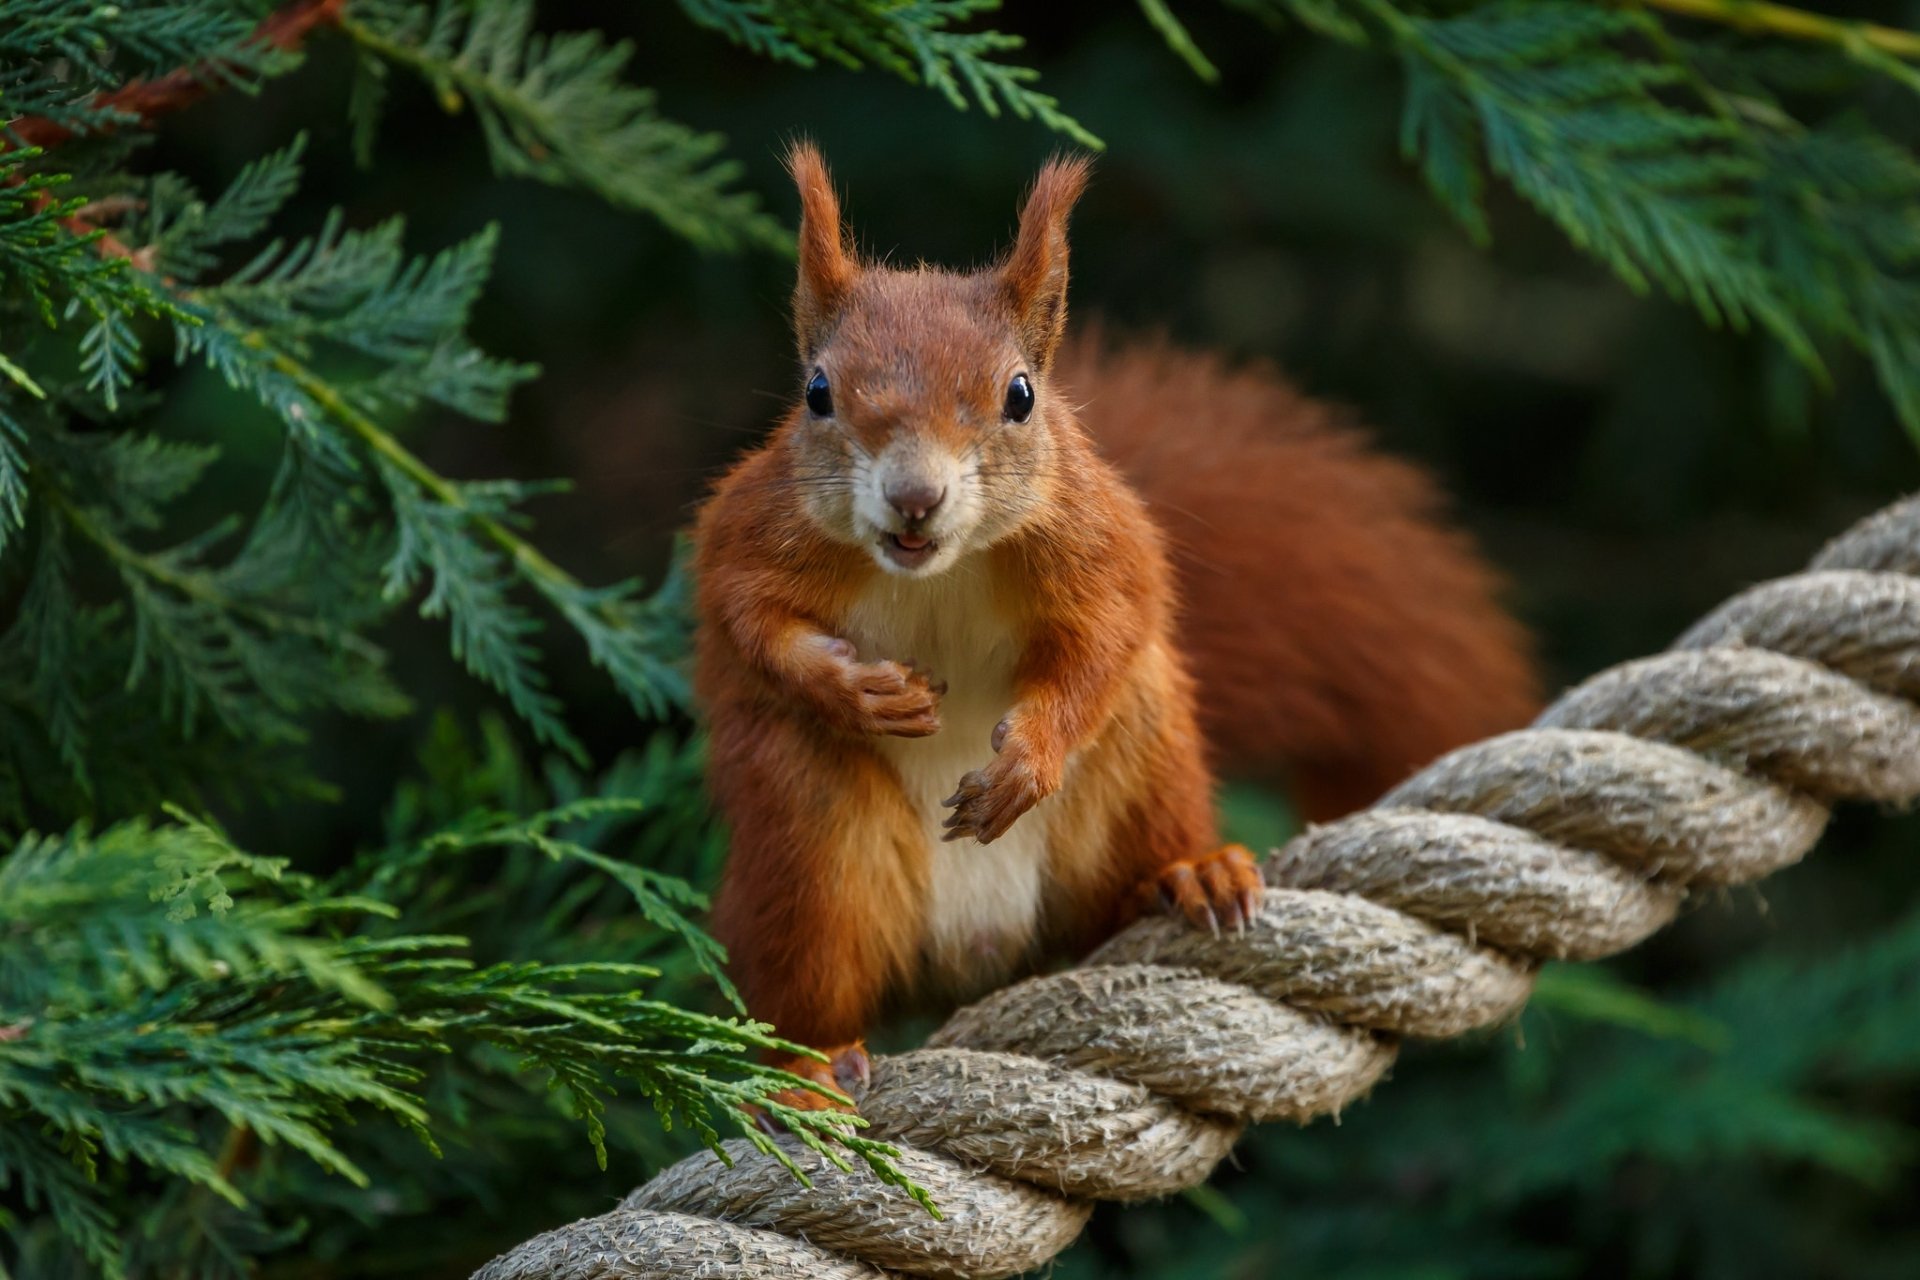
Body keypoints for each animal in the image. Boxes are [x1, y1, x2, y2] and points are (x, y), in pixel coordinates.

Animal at [694, 145, 1540, 1115]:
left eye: (1021, 395)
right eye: (817, 393)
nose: (915, 497)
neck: (938, 571)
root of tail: (979, 952)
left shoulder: (1099, 538)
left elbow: (1112, 631)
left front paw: (1029, 758)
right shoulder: (750, 532)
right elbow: (745, 620)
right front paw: (857, 689)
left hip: (1139, 767)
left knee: (1123, 852)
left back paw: (1184, 876)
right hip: (810, 850)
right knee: (811, 969)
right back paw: (803, 1067)